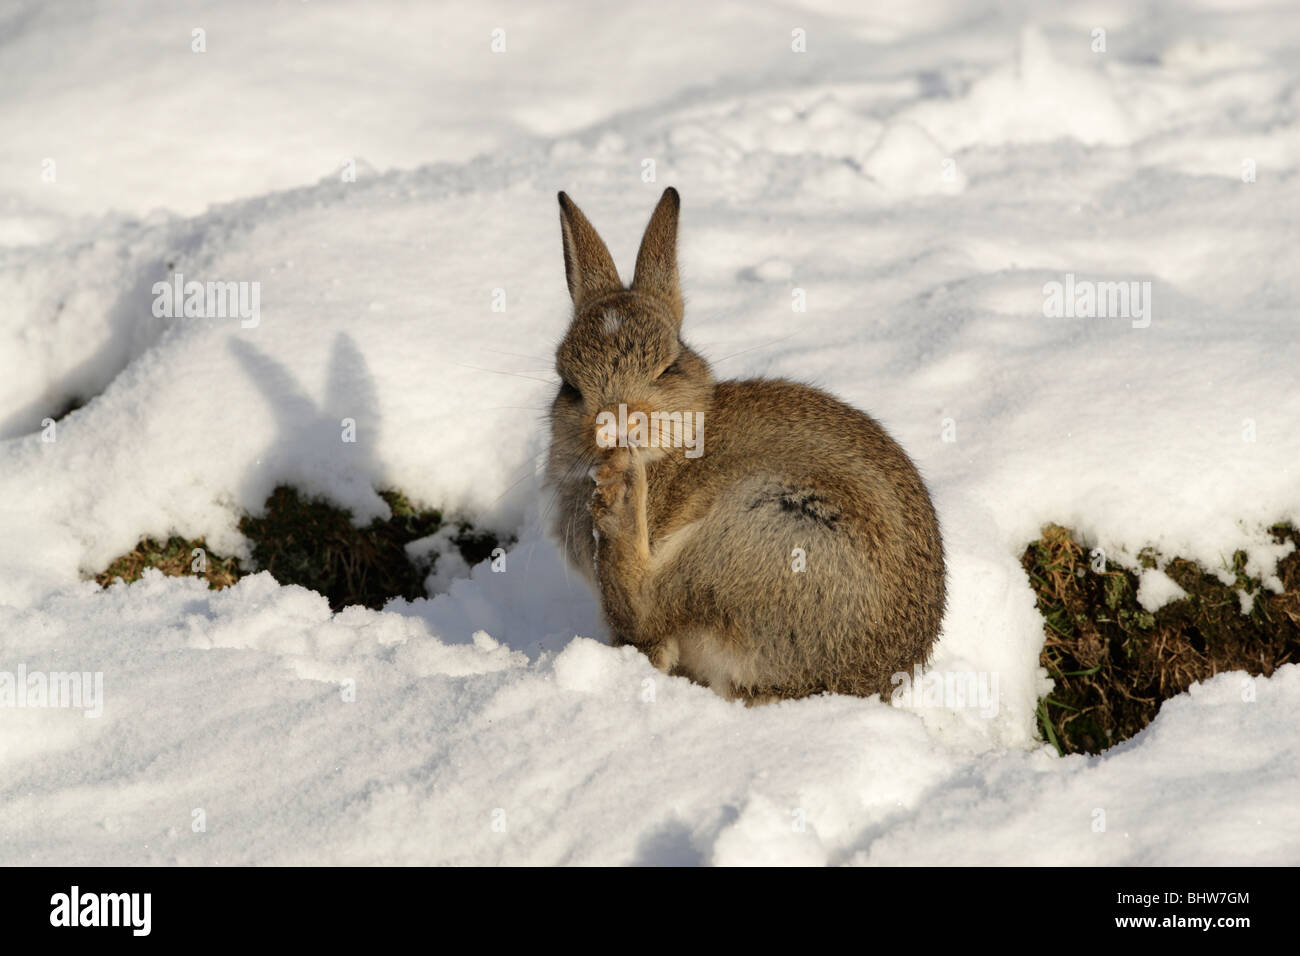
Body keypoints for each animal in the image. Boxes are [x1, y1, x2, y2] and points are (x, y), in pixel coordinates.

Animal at [545, 187, 945, 702]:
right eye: (569, 386)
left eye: (669, 367)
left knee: (649, 612)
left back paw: (620, 502)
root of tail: (854, 677)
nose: (615, 424)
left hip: (765, 532)